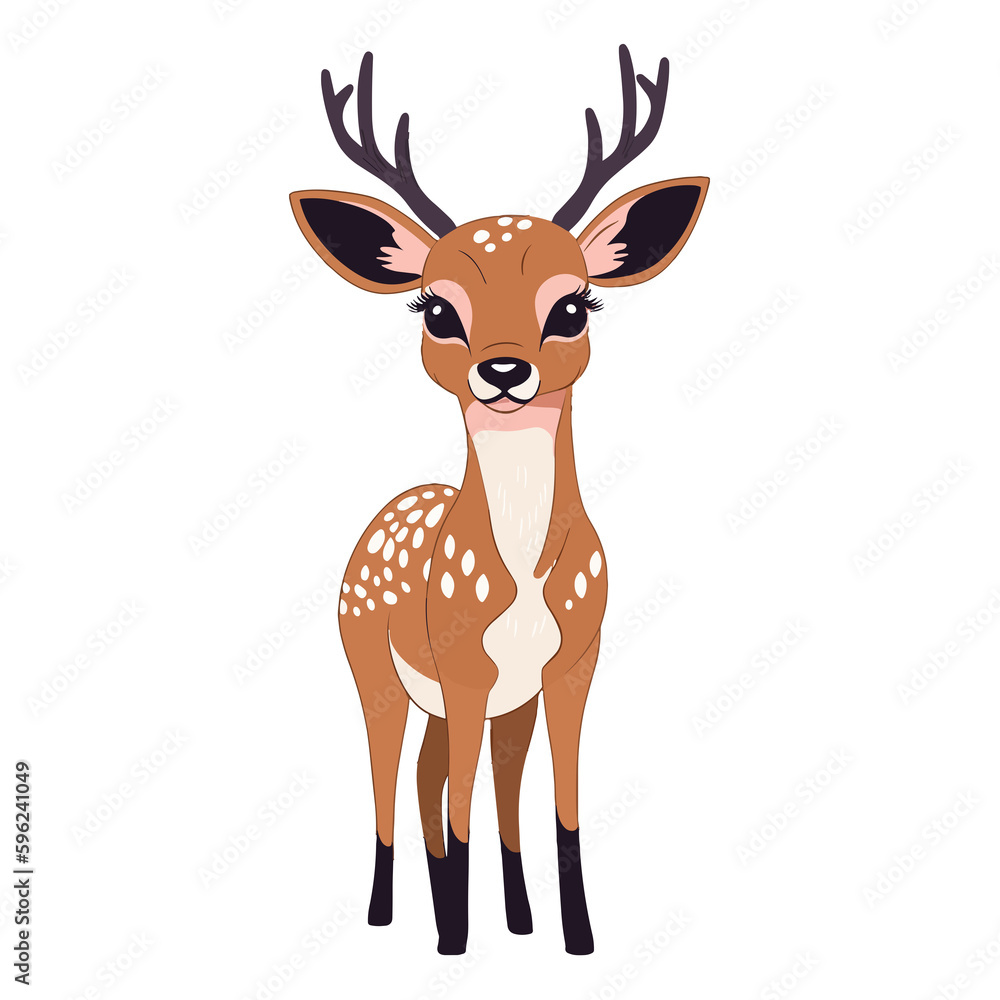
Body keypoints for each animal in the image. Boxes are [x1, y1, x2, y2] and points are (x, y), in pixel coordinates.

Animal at [289, 44, 708, 956]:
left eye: (574, 303)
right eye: (437, 308)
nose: (505, 370)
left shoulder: (573, 659)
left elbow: (558, 809)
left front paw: (573, 937)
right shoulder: (462, 665)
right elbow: (463, 813)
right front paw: (453, 941)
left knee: (440, 783)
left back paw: (510, 923)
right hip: (371, 660)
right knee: (393, 781)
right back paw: (386, 917)